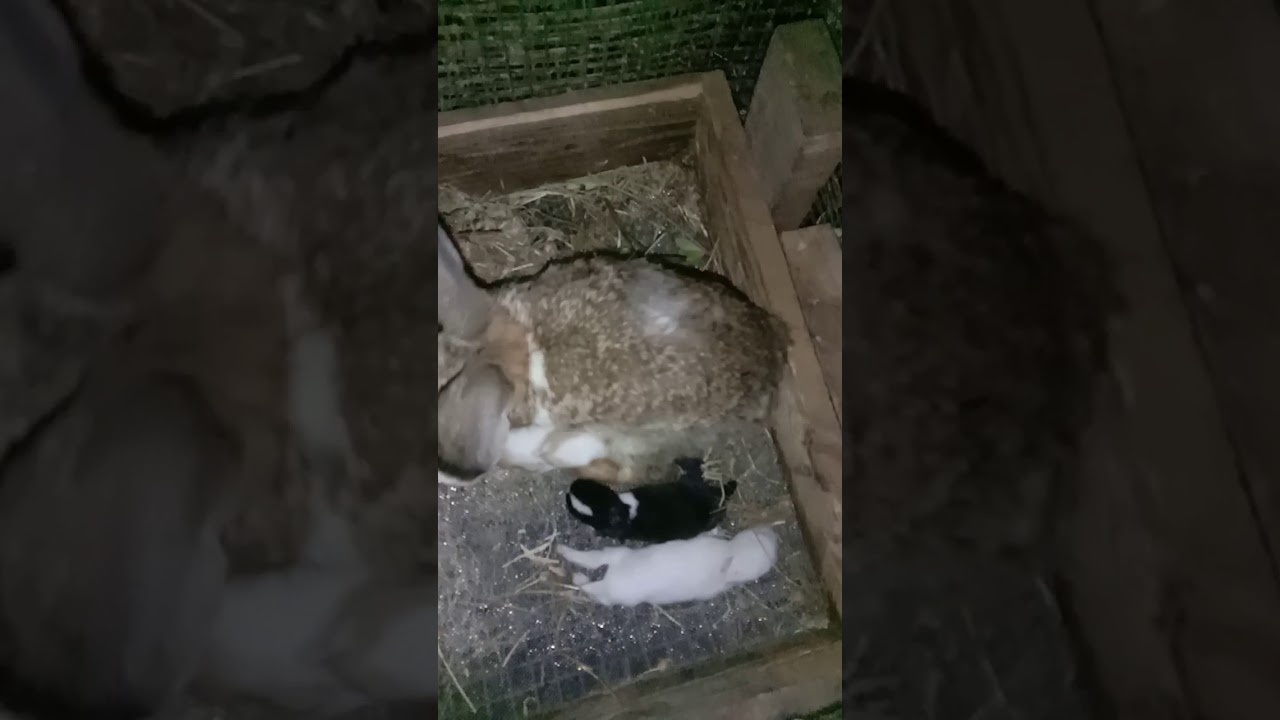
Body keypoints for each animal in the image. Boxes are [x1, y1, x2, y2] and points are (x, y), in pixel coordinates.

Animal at [555, 526, 780, 607]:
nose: (774, 534)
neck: (730, 553)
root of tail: (614, 576)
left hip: (616, 554)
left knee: (592, 560)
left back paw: (563, 551)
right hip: (618, 596)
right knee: (593, 590)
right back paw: (577, 578)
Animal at [566, 456, 739, 543]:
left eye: (575, 510)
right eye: (591, 485)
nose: (573, 486)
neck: (621, 507)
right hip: (692, 485)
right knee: (695, 474)